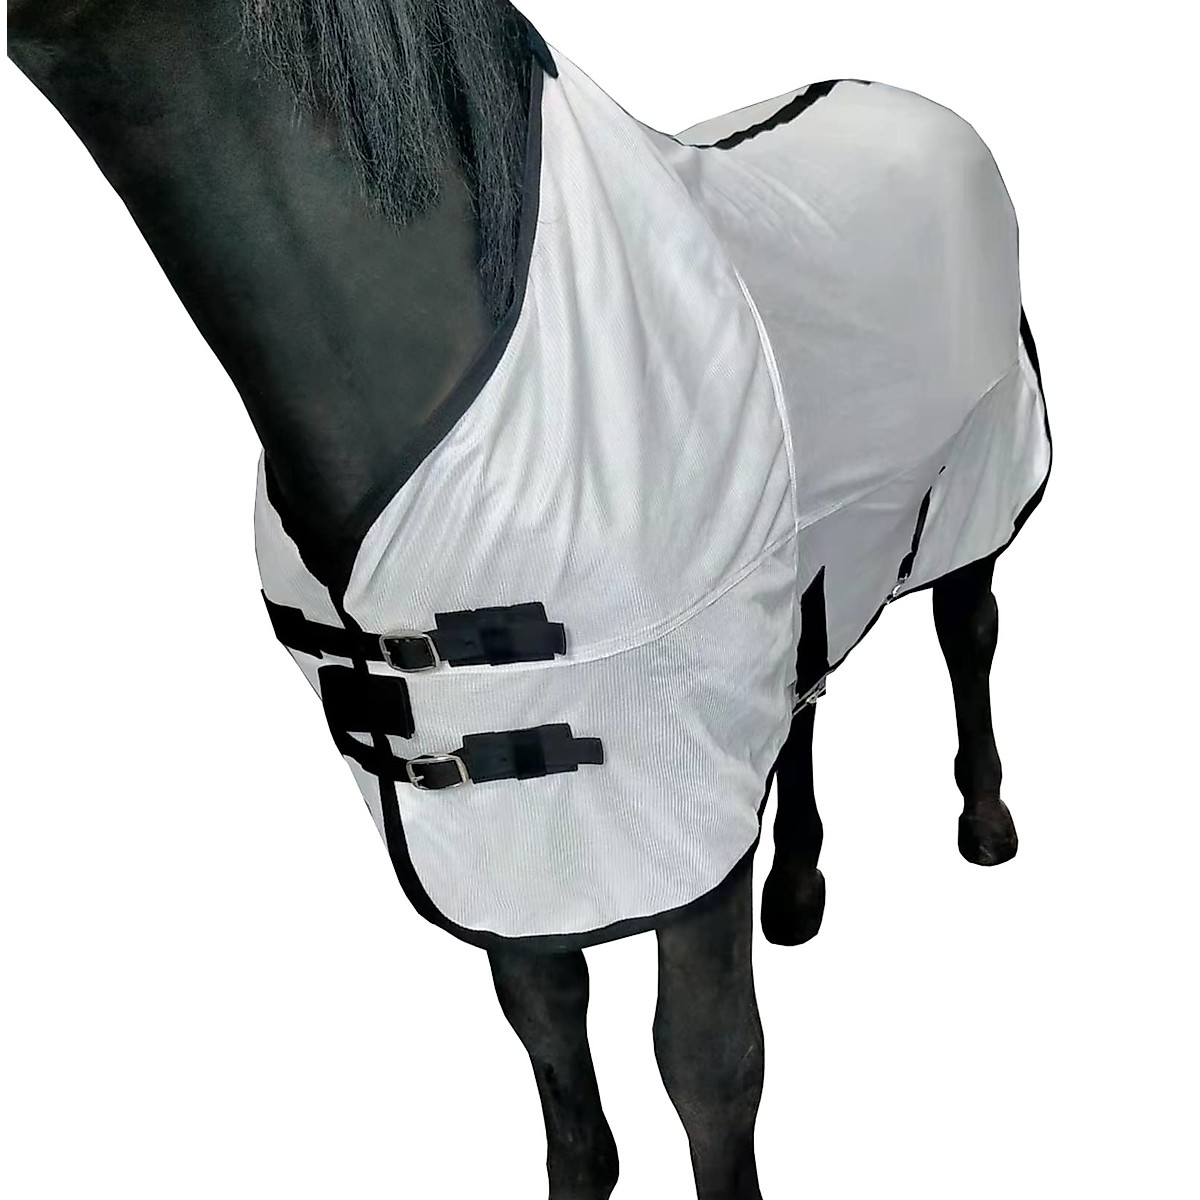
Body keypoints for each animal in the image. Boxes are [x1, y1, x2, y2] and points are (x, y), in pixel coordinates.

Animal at [7, 3, 1050, 1197]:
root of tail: (905, 97)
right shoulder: (512, 834)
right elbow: (556, 1057)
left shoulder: (675, 792)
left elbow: (709, 1067)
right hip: (807, 570)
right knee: (802, 707)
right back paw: (795, 895)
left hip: (977, 489)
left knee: (968, 636)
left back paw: (986, 825)